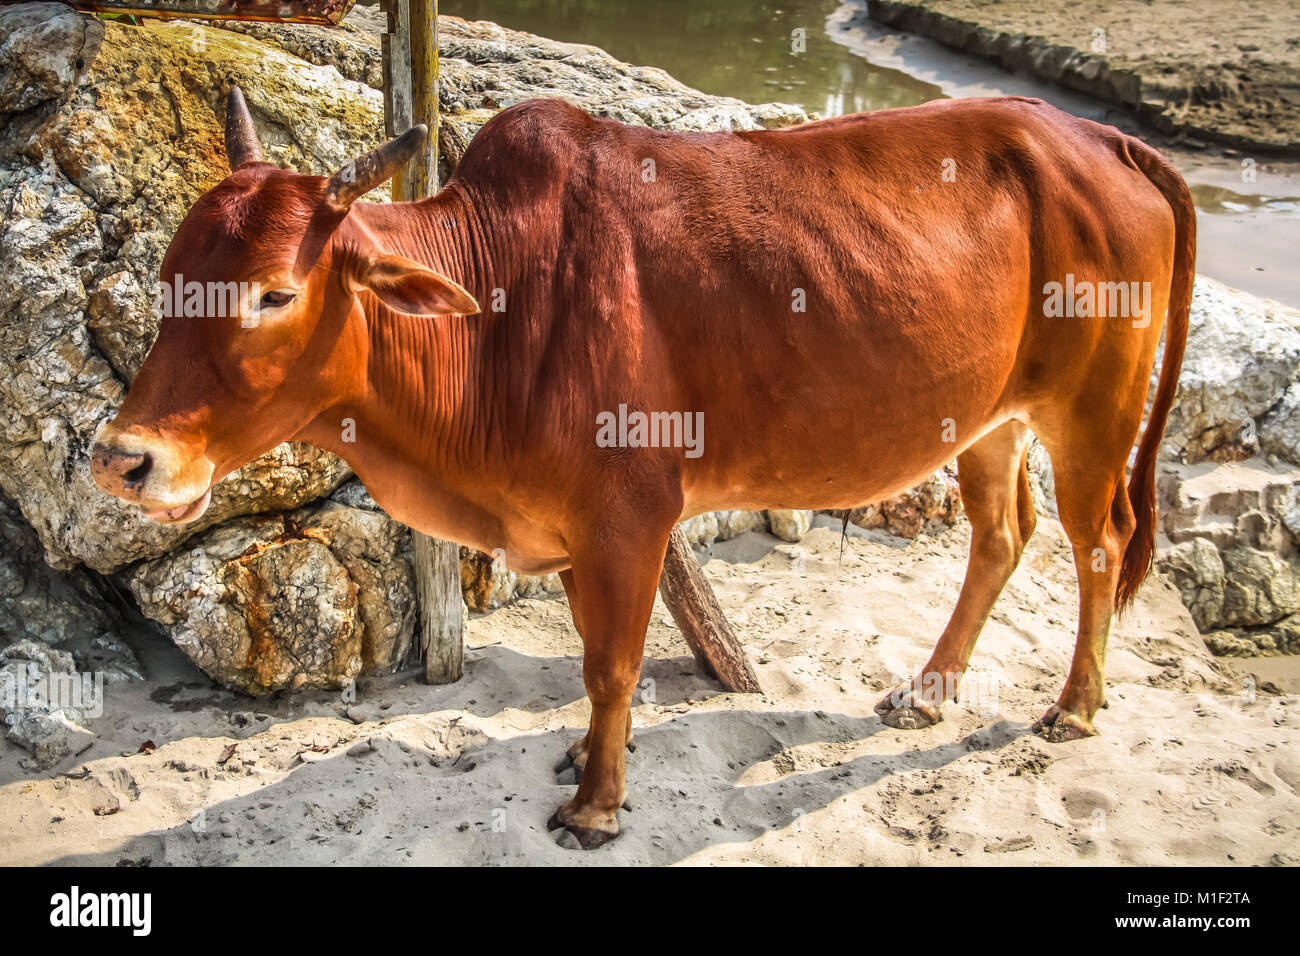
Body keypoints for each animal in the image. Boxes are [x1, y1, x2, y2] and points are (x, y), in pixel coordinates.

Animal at [92, 87, 1194, 849]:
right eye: (171, 275)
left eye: (275, 294)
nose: (122, 458)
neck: (498, 312)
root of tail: (1102, 139)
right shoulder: (577, 531)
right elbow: (592, 657)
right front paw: (589, 756)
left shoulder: (629, 519)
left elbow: (612, 664)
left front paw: (596, 805)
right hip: (989, 419)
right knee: (1002, 535)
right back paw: (928, 689)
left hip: (1090, 413)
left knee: (1099, 544)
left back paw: (1074, 705)